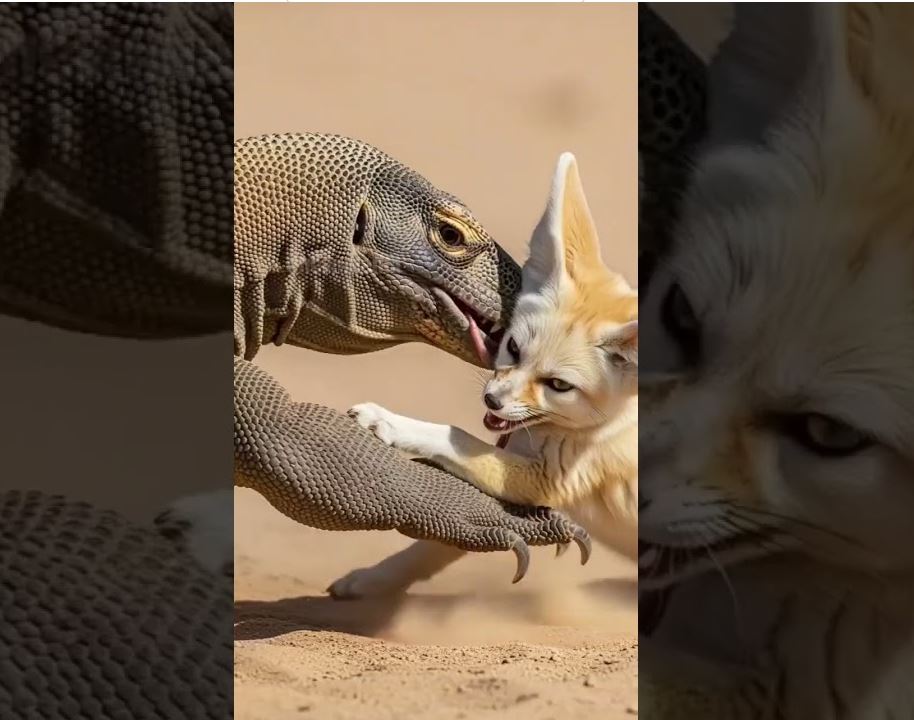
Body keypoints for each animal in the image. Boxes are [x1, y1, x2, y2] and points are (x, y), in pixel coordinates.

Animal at [329, 152, 638, 599]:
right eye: (513, 348)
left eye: (559, 385)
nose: (493, 401)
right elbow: (435, 545)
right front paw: (371, 581)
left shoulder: (543, 481)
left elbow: (455, 435)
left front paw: (387, 421)